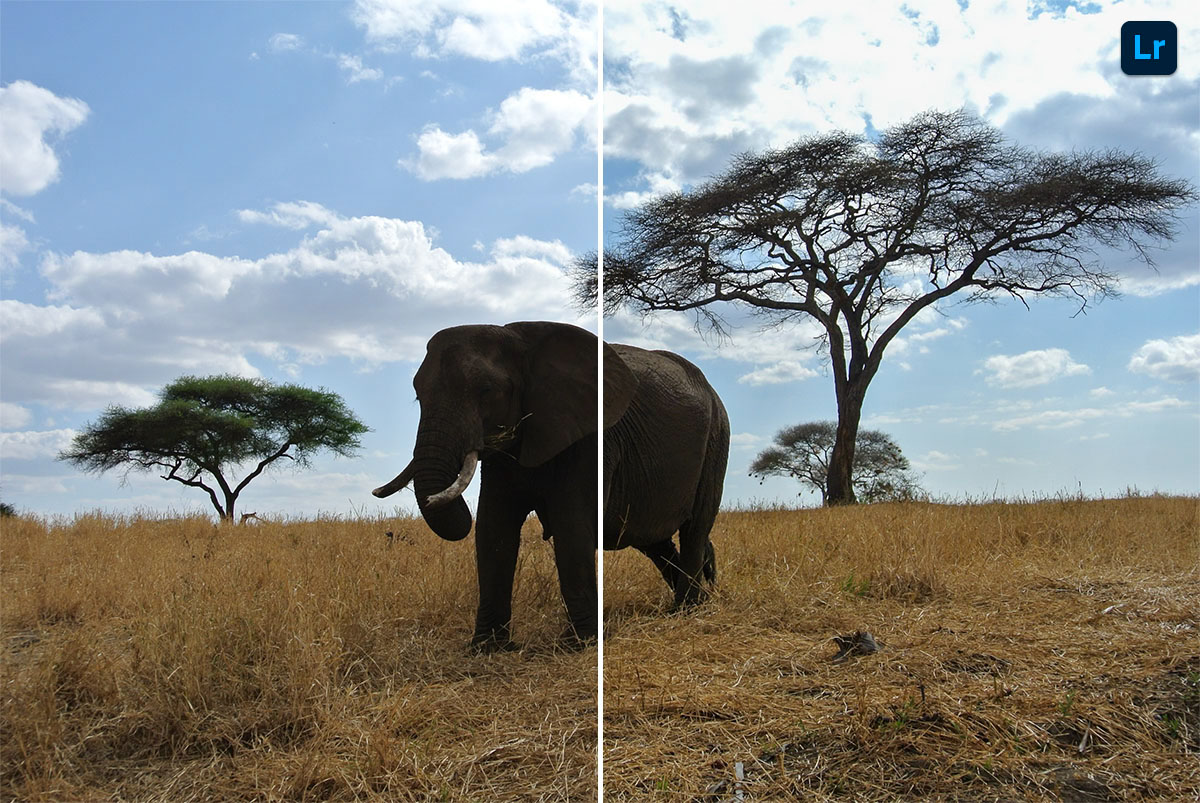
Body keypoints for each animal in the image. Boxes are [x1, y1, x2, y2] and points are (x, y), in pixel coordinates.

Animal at [372, 321, 601, 652]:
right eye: (417, 396)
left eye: (486, 391)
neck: (521, 338)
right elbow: (493, 528)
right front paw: (486, 648)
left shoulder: (579, 441)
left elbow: (570, 527)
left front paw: (580, 644)